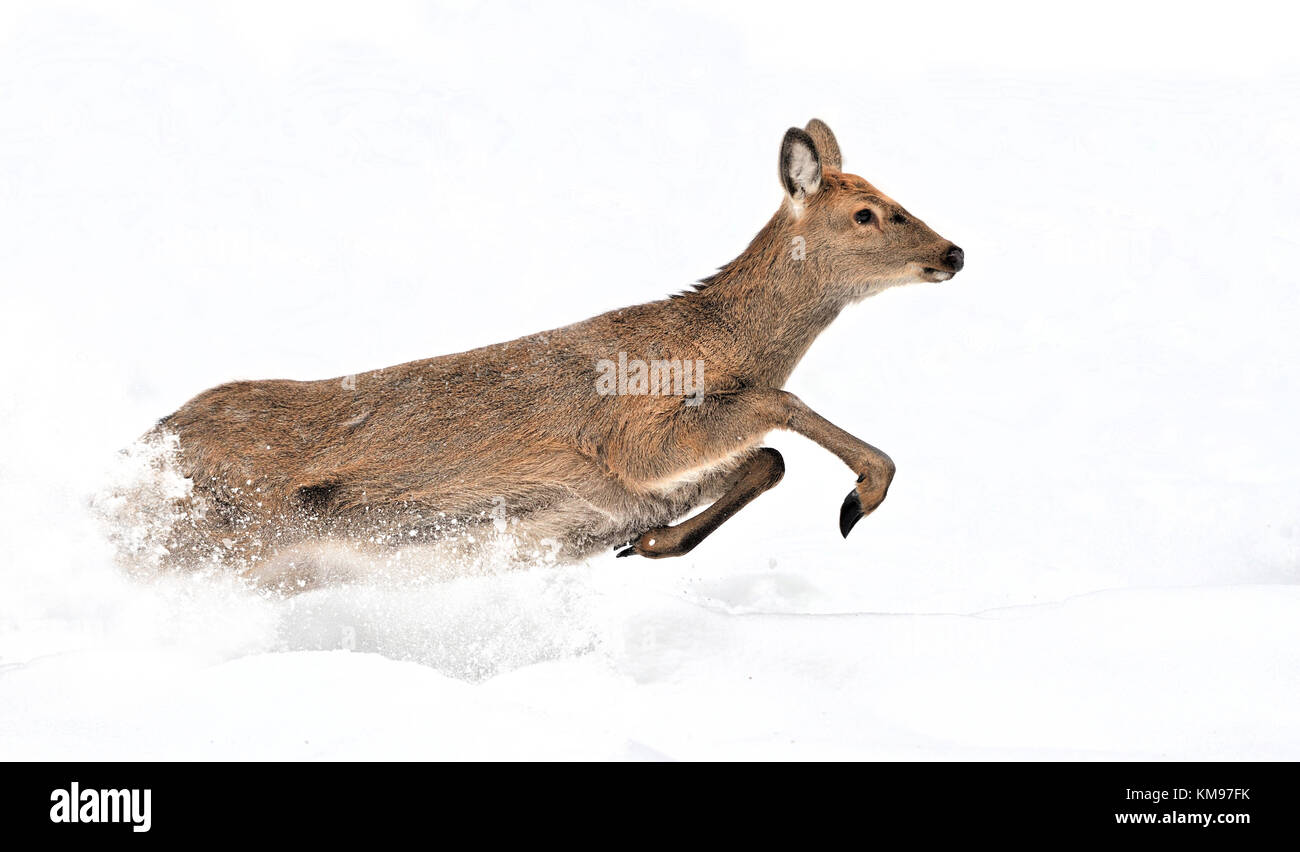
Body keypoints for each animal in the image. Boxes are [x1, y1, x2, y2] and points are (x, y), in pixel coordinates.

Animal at [135, 119, 963, 586]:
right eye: (867, 213)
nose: (953, 252)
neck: (707, 344)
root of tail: (151, 440)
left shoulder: (648, 478)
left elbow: (767, 458)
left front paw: (649, 545)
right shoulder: (629, 436)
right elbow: (779, 408)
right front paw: (866, 492)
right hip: (226, 530)